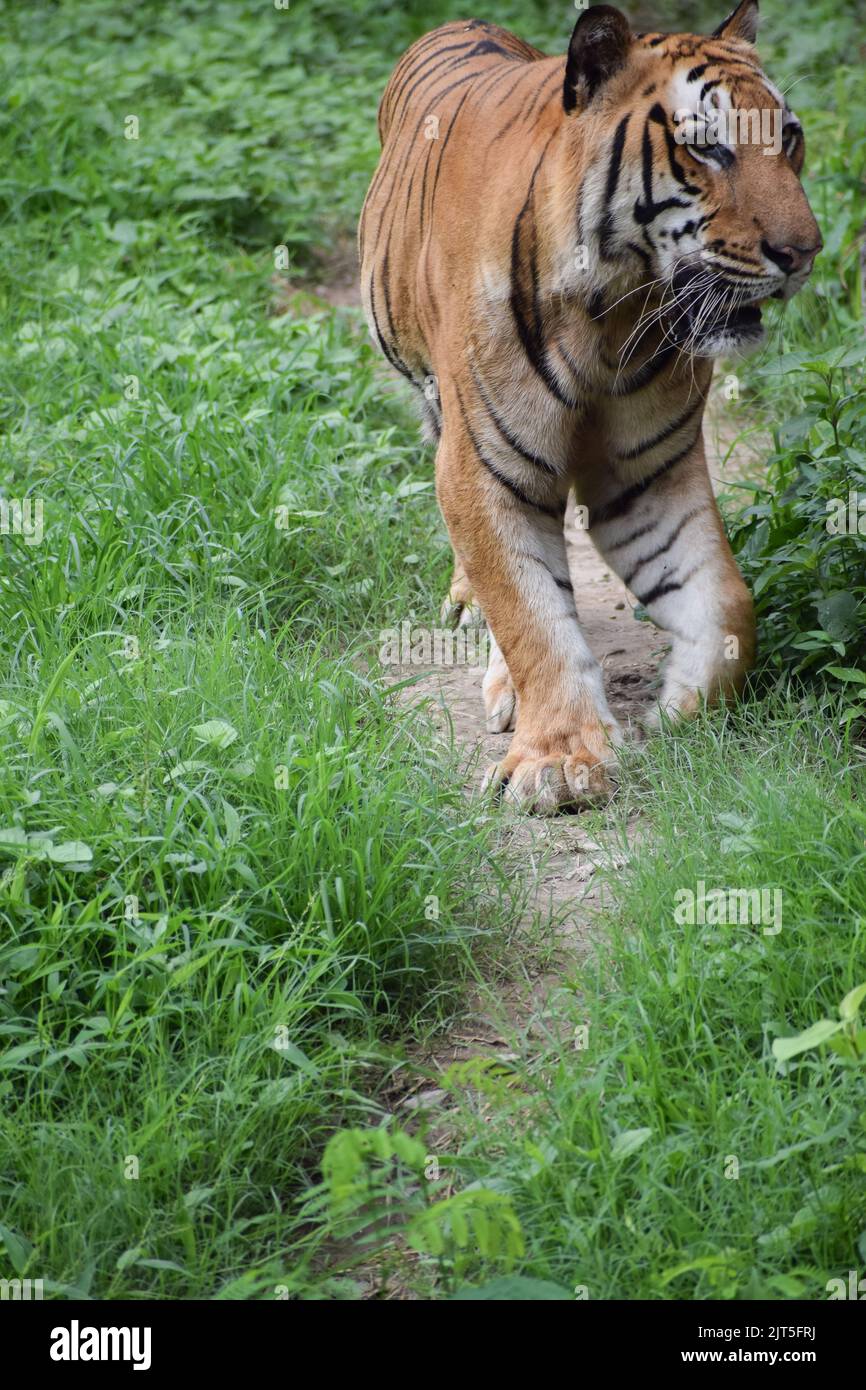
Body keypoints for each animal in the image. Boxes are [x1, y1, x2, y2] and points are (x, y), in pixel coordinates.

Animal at [359, 1, 821, 814]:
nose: (805, 253)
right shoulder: (485, 466)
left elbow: (725, 603)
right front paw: (559, 762)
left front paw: (681, 712)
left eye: (788, 138)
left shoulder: (647, 474)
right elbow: (531, 617)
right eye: (708, 147)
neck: (618, 307)